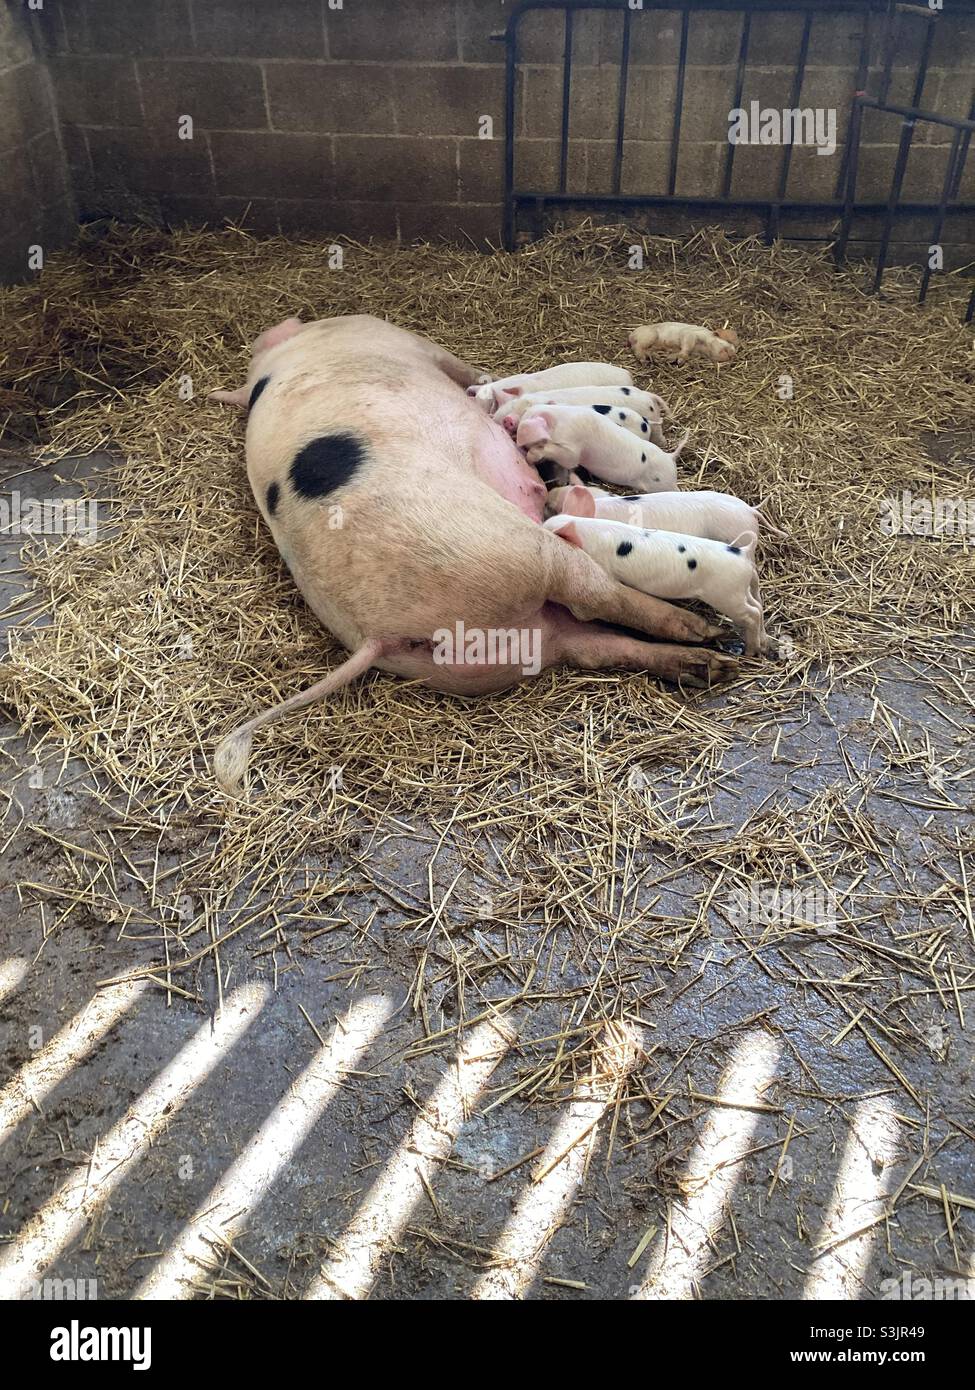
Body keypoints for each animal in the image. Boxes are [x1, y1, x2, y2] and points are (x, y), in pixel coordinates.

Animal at [516, 404, 688, 492]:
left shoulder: (572, 448)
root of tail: (670, 457)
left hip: (664, 485)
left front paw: (531, 456)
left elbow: (566, 458)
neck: (560, 422)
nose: (515, 435)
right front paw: (562, 481)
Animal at [545, 513, 765, 656]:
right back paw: (762, 644)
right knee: (759, 606)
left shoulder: (605, 567)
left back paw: (750, 651)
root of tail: (744, 552)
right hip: (744, 589)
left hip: (726, 595)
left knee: (752, 613)